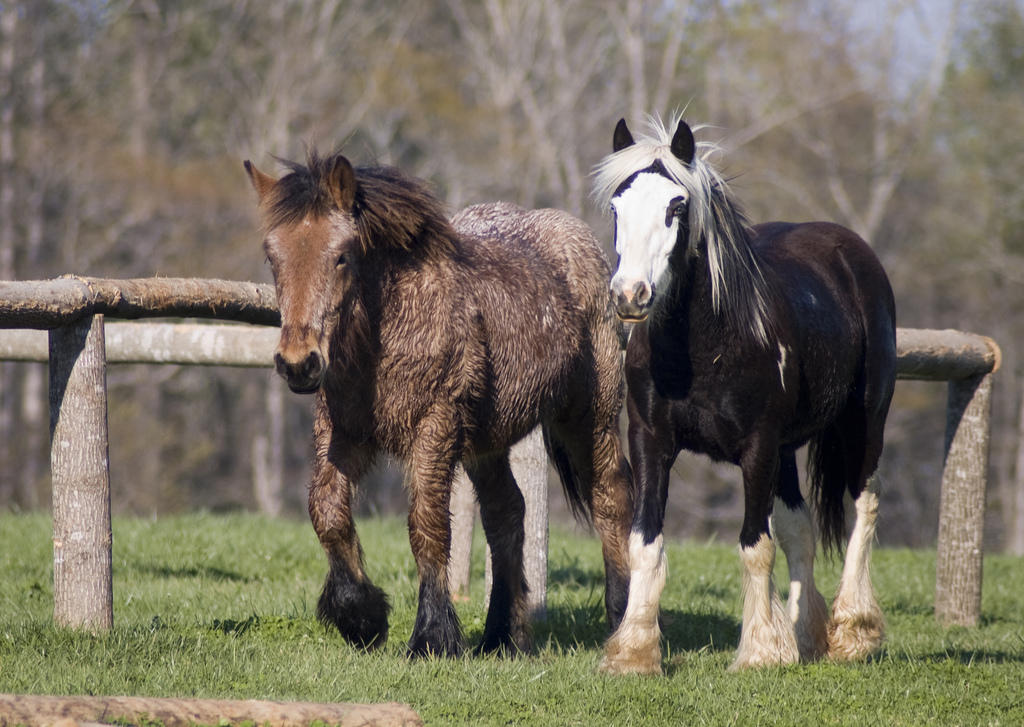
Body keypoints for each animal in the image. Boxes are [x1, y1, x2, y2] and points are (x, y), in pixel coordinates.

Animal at [244, 150, 633, 658]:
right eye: (272, 255)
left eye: (342, 256)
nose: (298, 363)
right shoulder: (342, 431)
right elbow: (326, 512)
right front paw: (361, 615)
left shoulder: (435, 427)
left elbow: (426, 525)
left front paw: (432, 635)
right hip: (487, 444)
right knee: (507, 512)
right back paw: (501, 634)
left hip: (591, 417)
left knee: (611, 500)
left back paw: (623, 619)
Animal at [591, 115, 897, 674]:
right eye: (617, 207)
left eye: (676, 207)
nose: (629, 295)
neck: (703, 345)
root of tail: (850, 250)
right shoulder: (650, 442)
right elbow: (645, 543)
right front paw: (635, 652)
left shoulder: (756, 447)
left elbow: (755, 545)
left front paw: (758, 652)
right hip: (787, 449)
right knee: (801, 527)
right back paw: (805, 635)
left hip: (863, 422)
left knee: (865, 504)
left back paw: (852, 631)